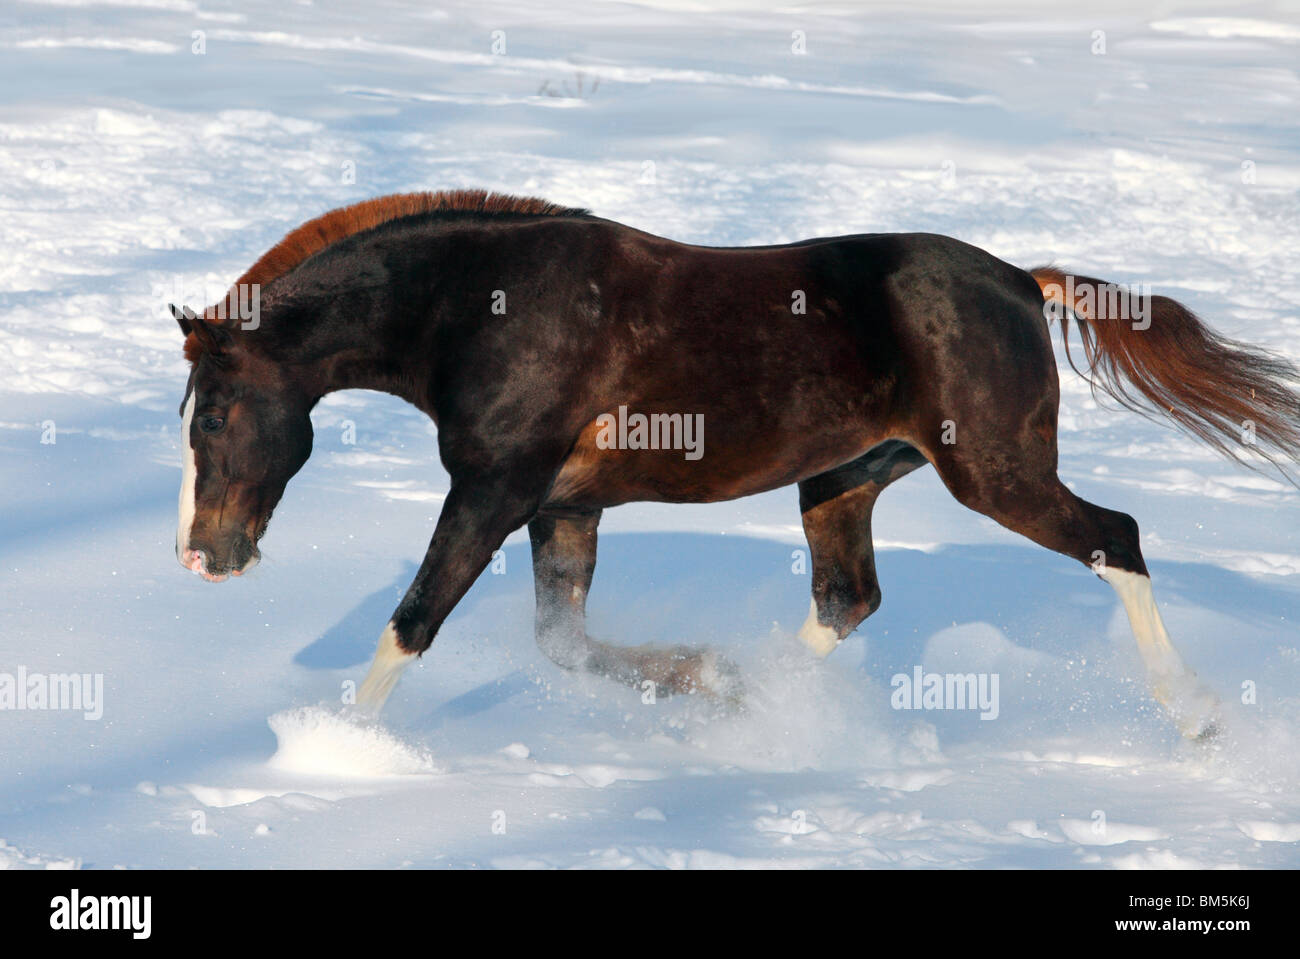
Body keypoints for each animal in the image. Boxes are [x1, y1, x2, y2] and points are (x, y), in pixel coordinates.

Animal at [171, 189, 1300, 740]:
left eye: (216, 412)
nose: (200, 557)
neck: (483, 308)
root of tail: (1026, 282)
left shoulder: (493, 490)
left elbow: (413, 620)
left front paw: (335, 746)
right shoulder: (561, 506)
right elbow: (561, 641)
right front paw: (697, 678)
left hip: (993, 473)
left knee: (1117, 538)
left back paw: (1197, 715)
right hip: (843, 477)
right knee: (847, 597)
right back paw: (752, 703)